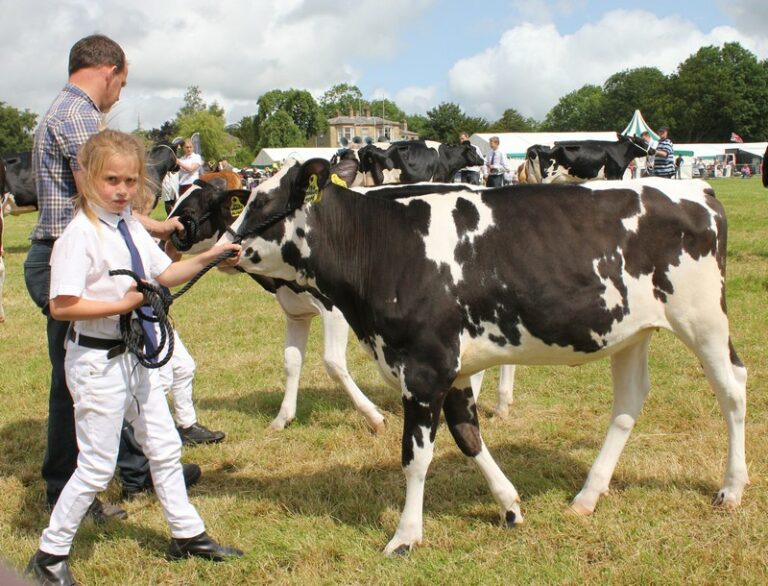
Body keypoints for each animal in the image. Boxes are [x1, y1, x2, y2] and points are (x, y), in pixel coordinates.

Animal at [218, 158, 748, 555]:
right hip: (631, 331)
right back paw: (587, 496)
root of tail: (696, 188)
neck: (387, 248)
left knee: (733, 389)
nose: (225, 245)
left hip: (703, 318)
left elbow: (415, 457)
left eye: (262, 201)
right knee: (628, 404)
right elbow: (468, 437)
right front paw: (509, 505)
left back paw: (731, 488)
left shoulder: (425, 369)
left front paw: (405, 537)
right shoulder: (449, 371)